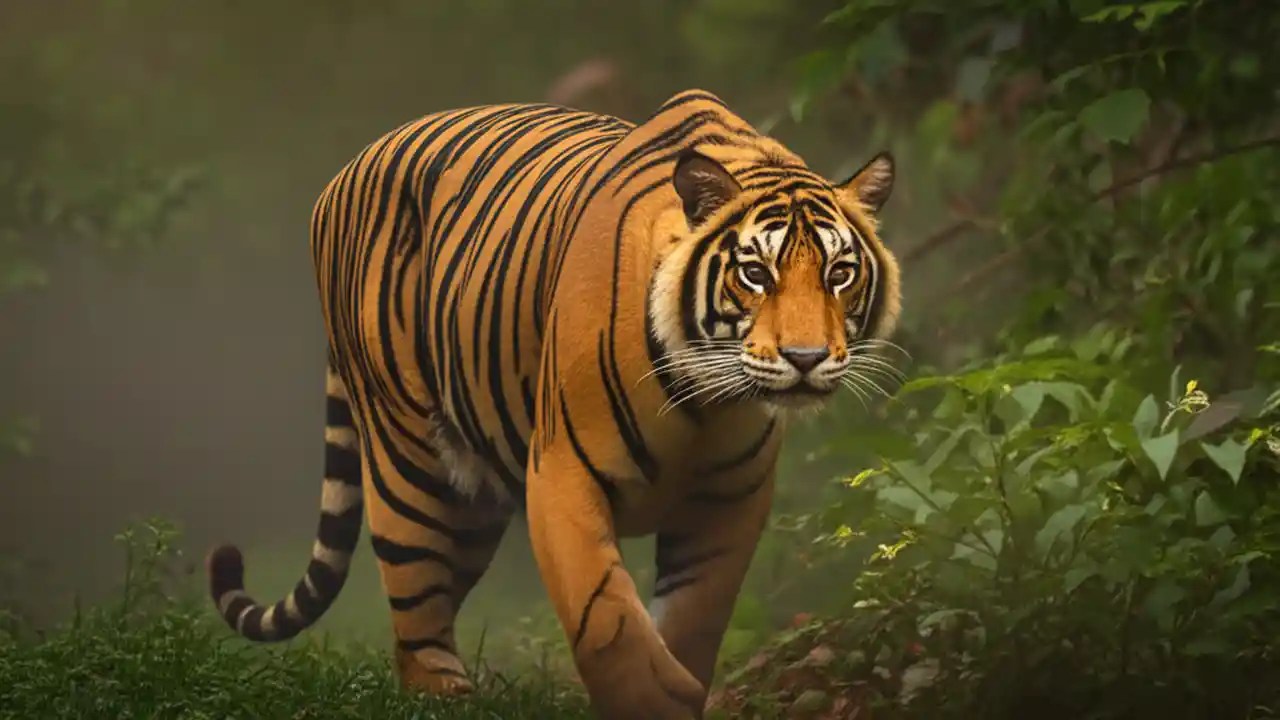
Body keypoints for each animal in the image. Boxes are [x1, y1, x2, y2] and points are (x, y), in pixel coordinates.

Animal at [205, 88, 901, 720]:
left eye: (840, 273)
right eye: (755, 273)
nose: (806, 357)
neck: (705, 401)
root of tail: (344, 172)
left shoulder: (729, 498)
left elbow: (693, 620)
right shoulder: (564, 474)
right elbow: (610, 622)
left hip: (470, 495)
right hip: (408, 465)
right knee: (416, 614)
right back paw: (444, 698)